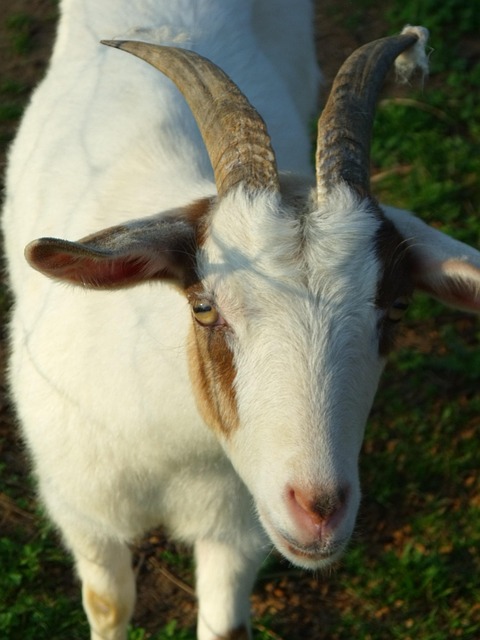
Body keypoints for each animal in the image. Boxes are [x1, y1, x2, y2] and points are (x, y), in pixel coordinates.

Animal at [3, 1, 480, 639]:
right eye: (204, 307)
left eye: (397, 306)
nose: (319, 510)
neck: (177, 449)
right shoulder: (84, 509)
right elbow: (109, 604)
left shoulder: (239, 528)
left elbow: (225, 623)